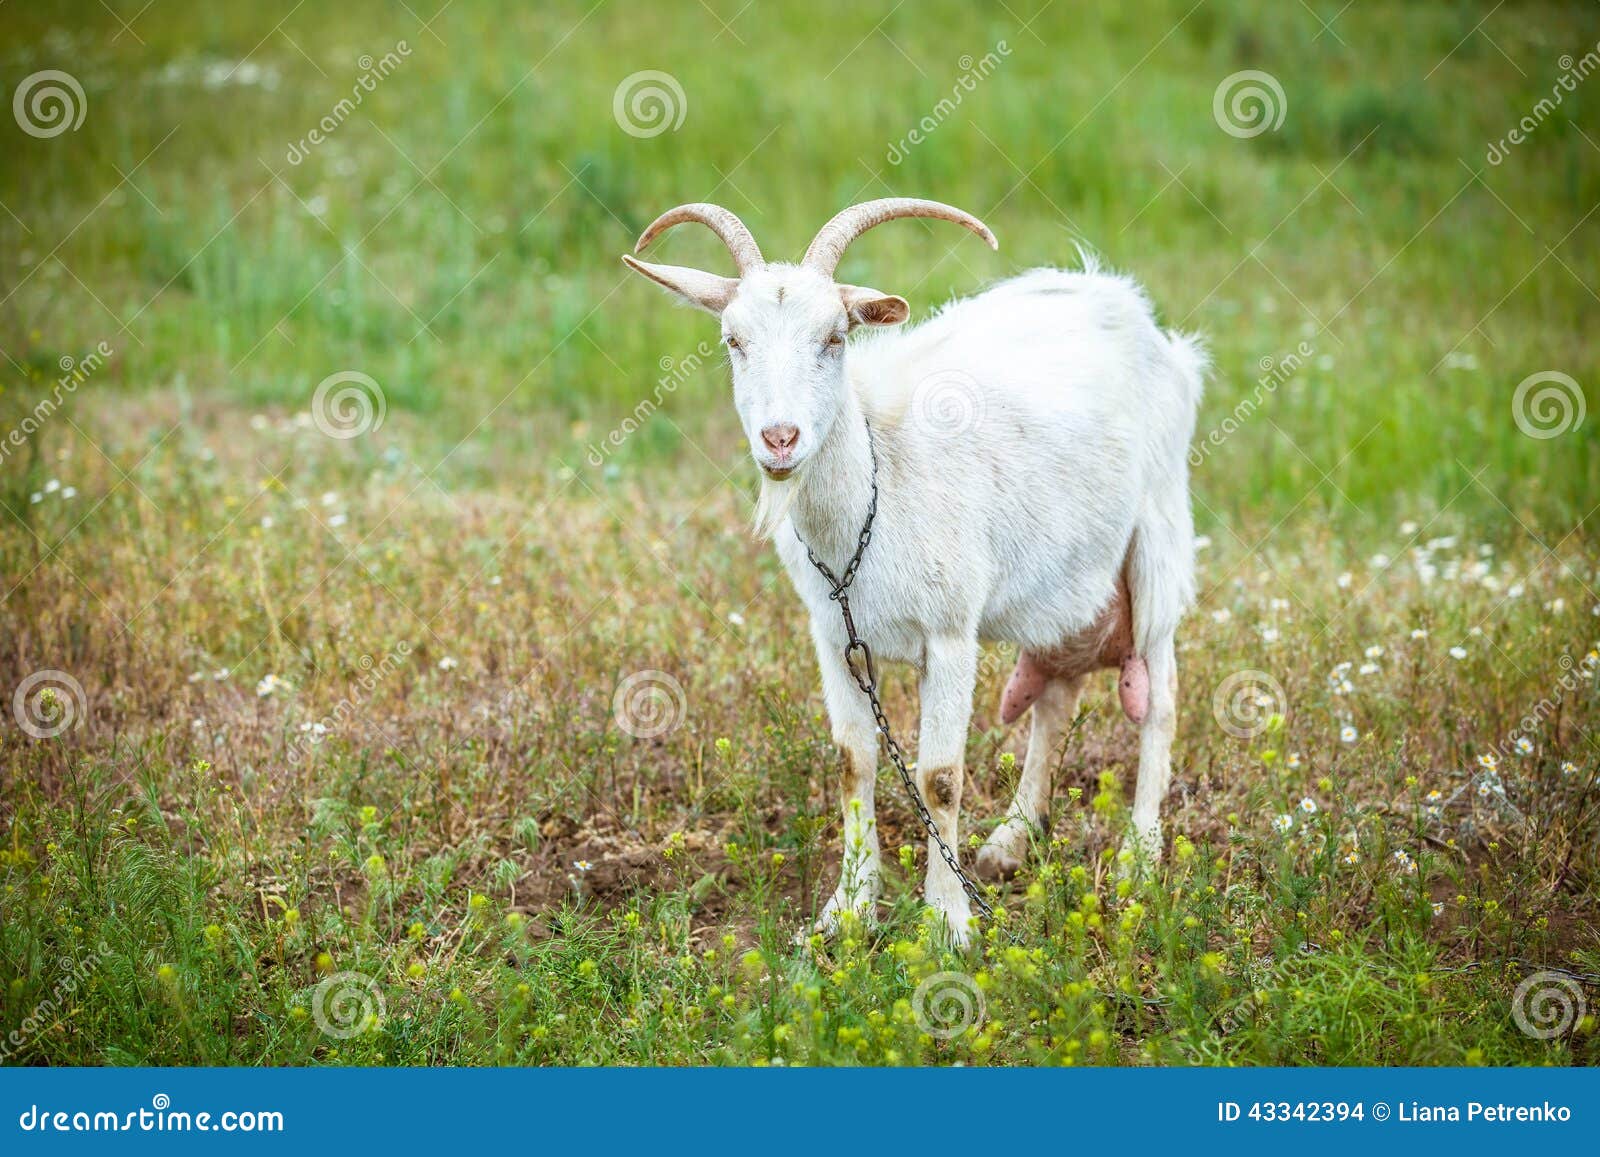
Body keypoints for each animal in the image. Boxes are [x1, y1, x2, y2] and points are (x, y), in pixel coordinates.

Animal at [623, 200, 1206, 944]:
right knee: (1057, 692)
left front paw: (948, 925)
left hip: (1157, 539)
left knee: (1162, 701)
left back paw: (1139, 858)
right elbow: (854, 760)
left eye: (835, 337)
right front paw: (845, 910)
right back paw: (1011, 841)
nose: (780, 439)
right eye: (733, 340)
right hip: (1069, 579)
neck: (880, 478)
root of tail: (1125, 301)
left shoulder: (950, 635)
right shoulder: (832, 635)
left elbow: (939, 778)